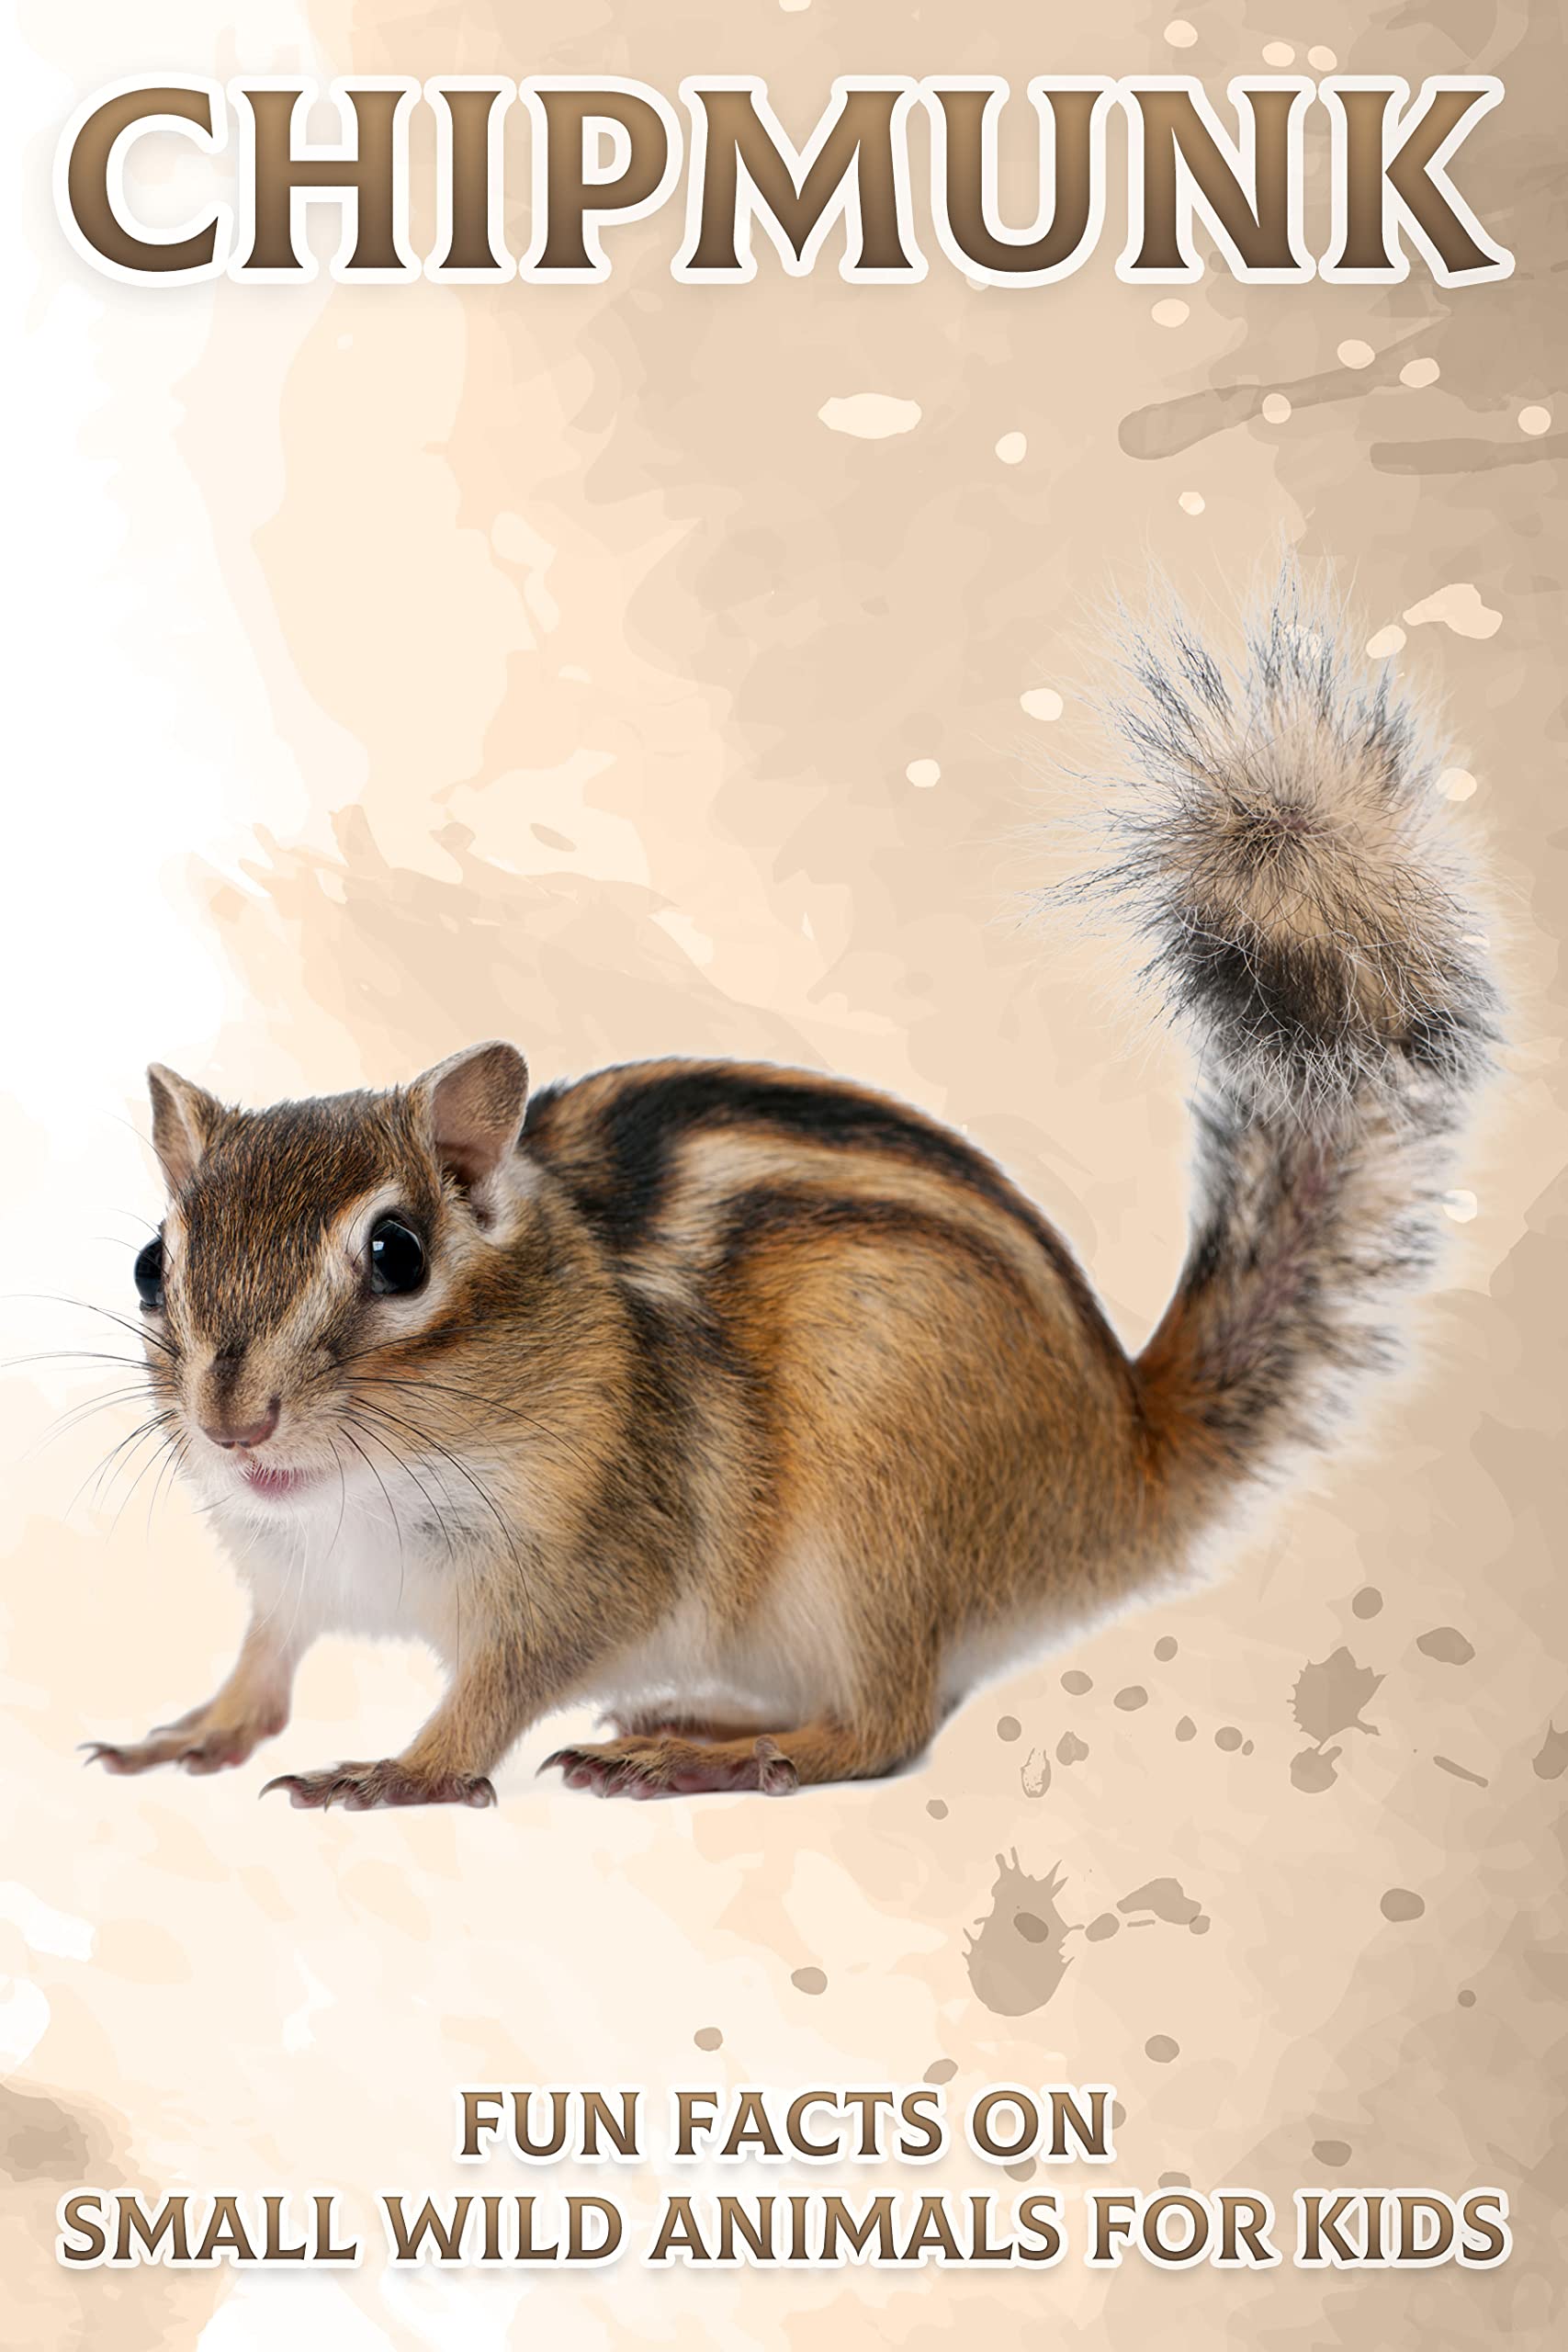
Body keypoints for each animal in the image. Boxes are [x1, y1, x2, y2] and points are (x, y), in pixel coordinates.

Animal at [83, 594, 1498, 1810]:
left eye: (396, 1255)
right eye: (154, 1264)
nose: (232, 1423)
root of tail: (1125, 1465)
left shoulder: (598, 1563)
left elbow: (498, 1690)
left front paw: (402, 1771)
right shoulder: (285, 1576)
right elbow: (266, 1658)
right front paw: (187, 1733)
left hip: (874, 1505)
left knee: (886, 1724)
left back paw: (707, 1755)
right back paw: (701, 1714)